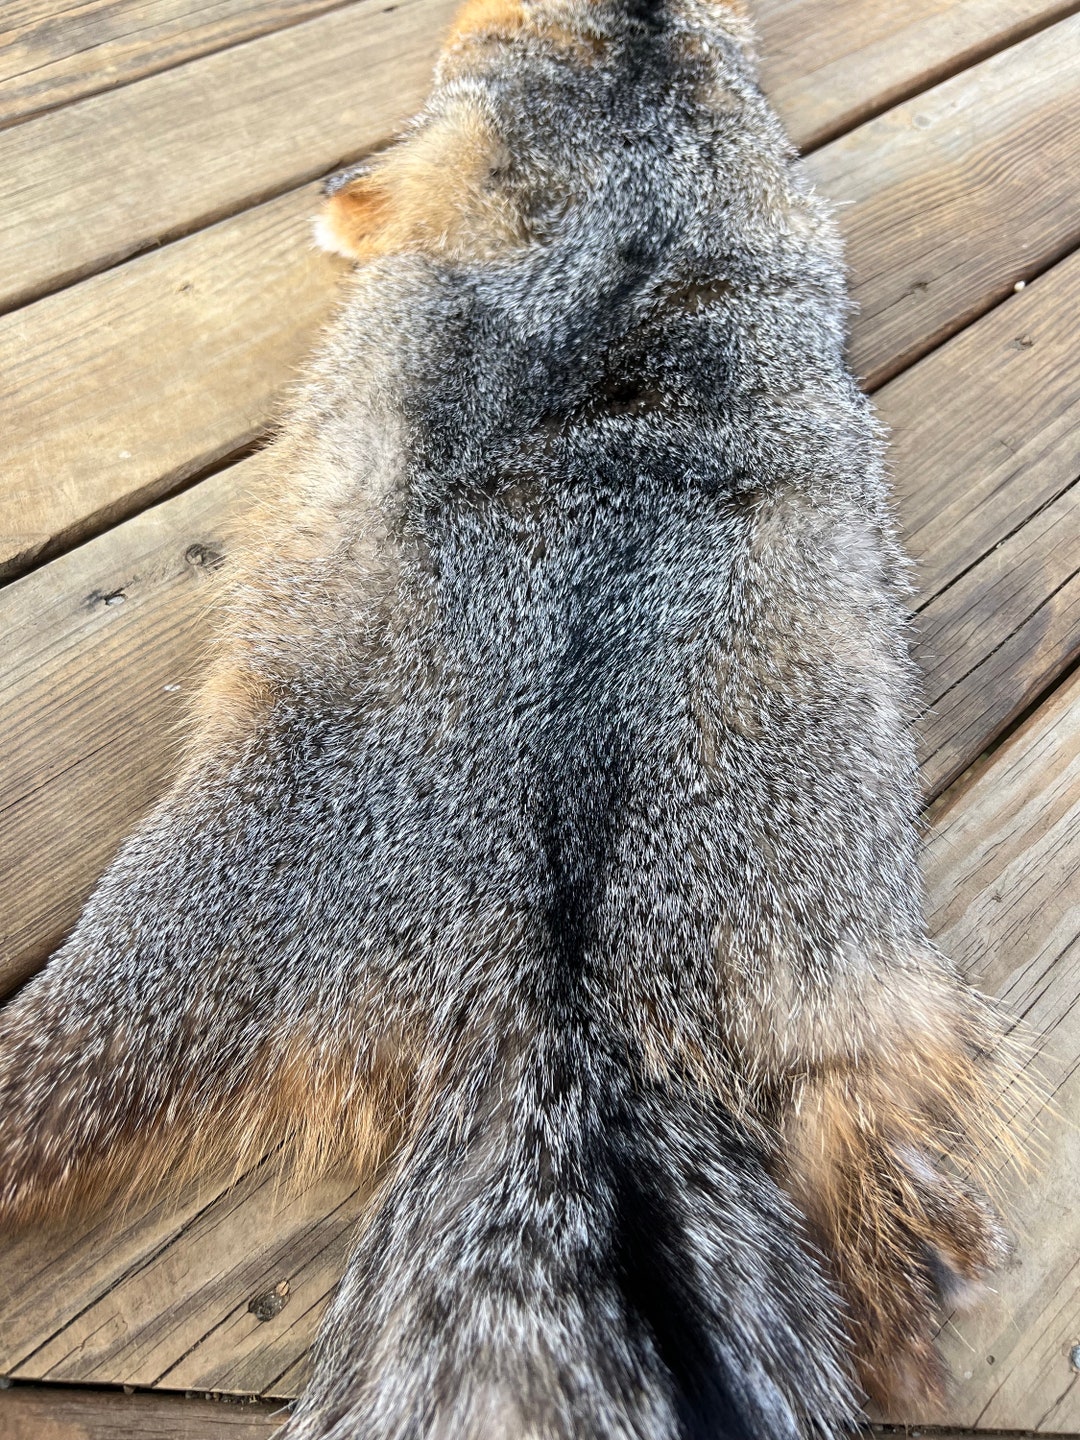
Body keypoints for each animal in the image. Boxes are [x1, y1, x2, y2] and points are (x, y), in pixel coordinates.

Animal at [0, 0, 1020, 1436]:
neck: (640, 57)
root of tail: (572, 987)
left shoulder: (455, 135)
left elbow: (384, 190)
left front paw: (340, 213)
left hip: (123, 974)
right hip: (860, 1038)